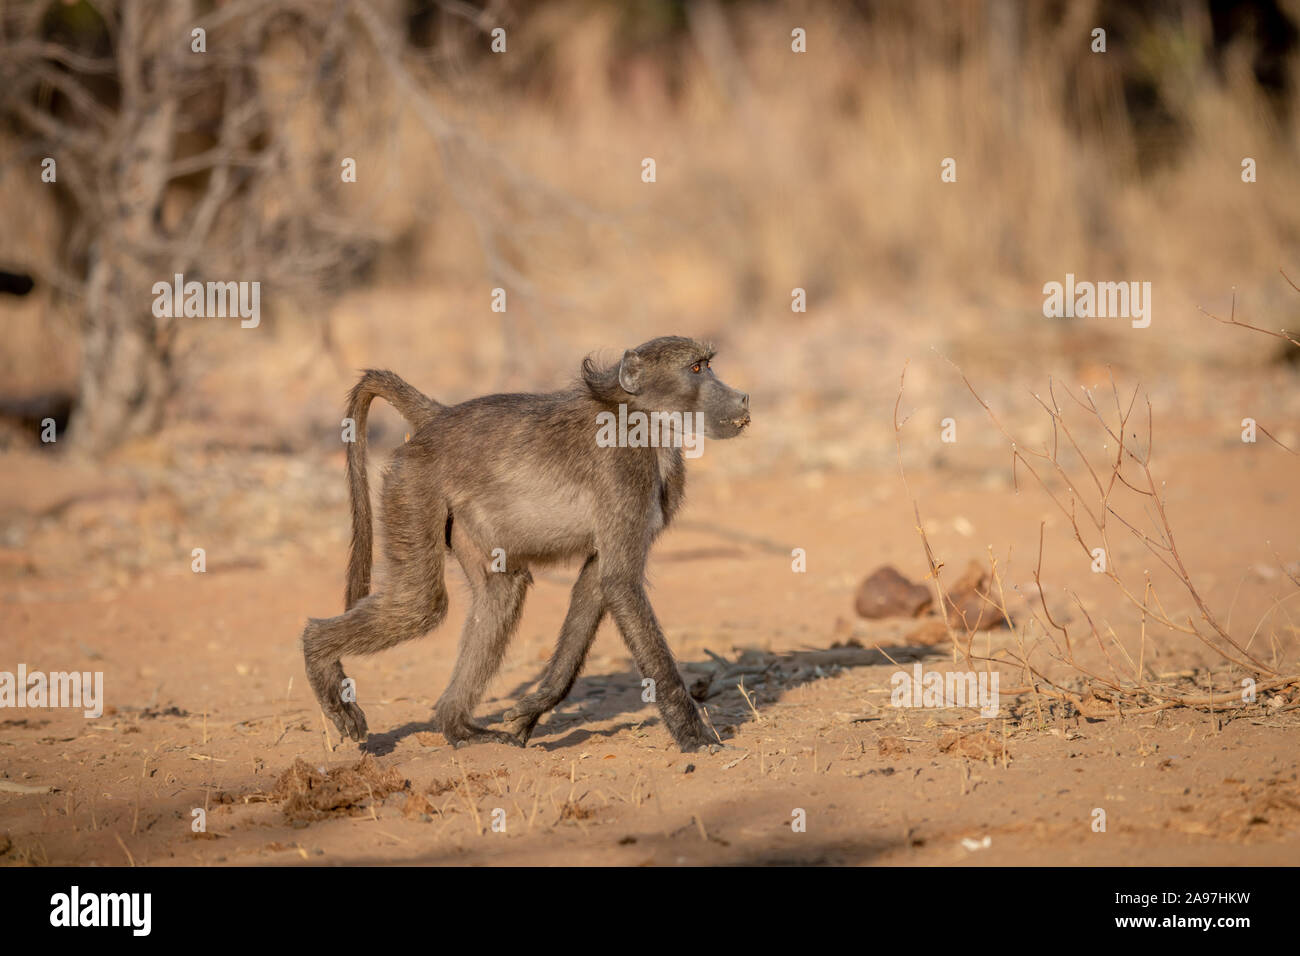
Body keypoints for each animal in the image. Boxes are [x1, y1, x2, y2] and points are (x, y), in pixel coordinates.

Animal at [300, 336, 751, 752]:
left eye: (708, 364)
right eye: (696, 368)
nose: (742, 397)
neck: (640, 419)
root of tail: (440, 417)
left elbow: (596, 582)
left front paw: (532, 708)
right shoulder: (624, 471)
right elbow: (620, 583)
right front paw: (694, 737)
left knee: (501, 592)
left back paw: (458, 727)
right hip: (411, 486)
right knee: (420, 603)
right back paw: (321, 660)